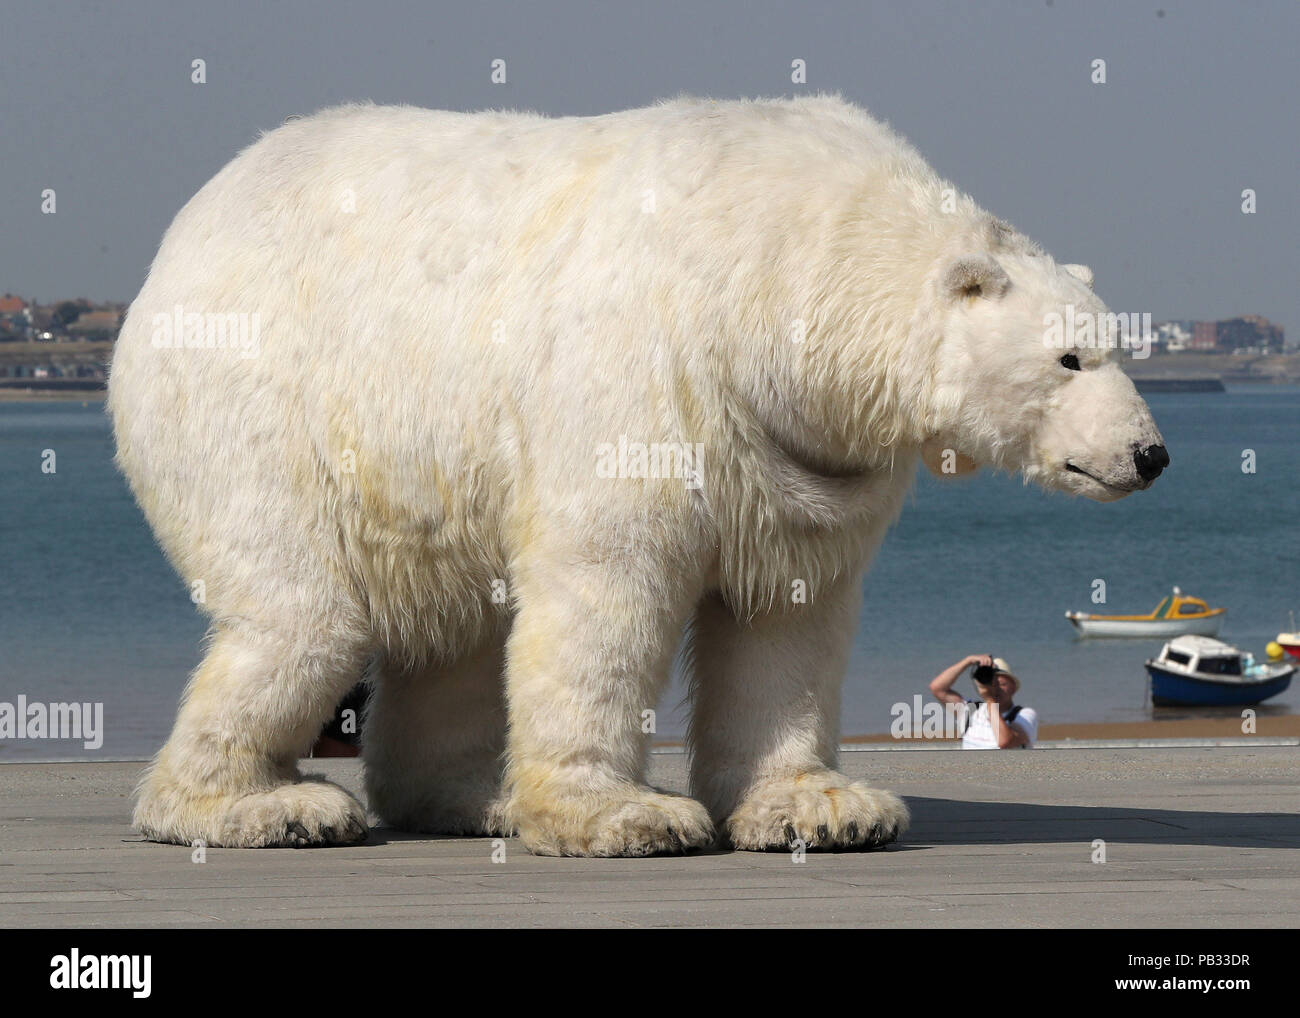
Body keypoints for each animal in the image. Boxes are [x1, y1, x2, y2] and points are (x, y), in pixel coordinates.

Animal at [108, 95, 1166, 856]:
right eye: (1071, 357)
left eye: (1122, 346)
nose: (1149, 454)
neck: (773, 272)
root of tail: (185, 229)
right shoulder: (651, 380)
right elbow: (608, 586)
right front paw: (621, 814)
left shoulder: (796, 451)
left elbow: (787, 611)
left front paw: (825, 807)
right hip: (259, 408)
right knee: (305, 615)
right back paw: (263, 806)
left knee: (455, 621)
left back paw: (475, 794)